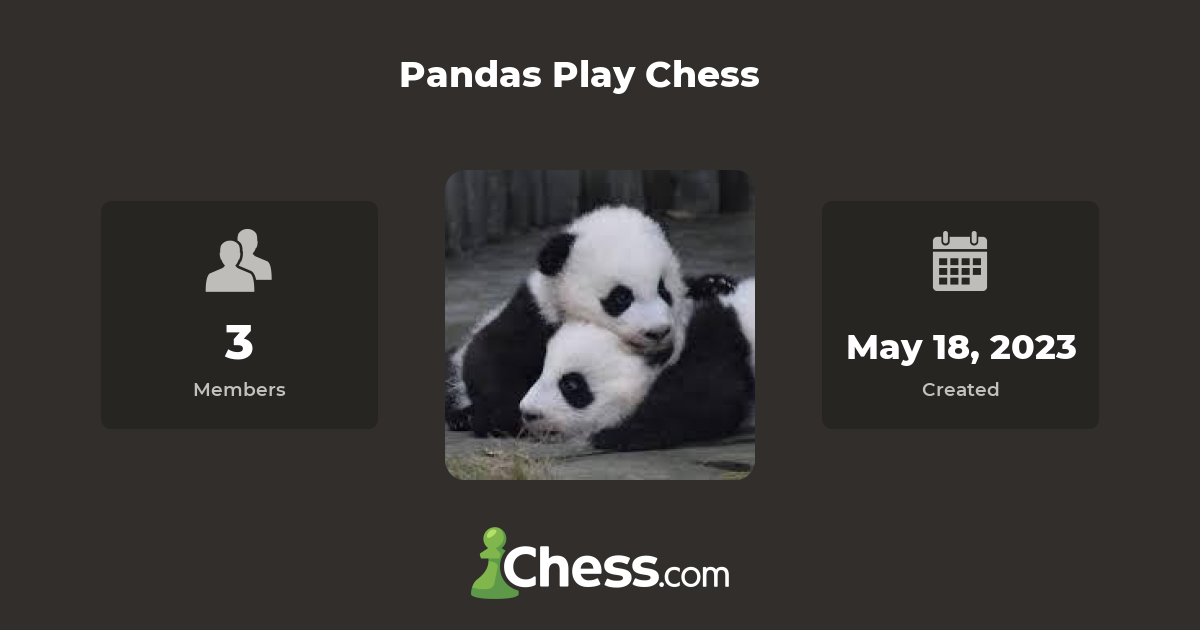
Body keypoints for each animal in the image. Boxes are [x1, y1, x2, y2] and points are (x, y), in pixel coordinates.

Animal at [446, 206, 698, 437]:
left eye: (664, 290)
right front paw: (498, 418)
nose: (658, 332)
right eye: (620, 297)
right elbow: (489, 355)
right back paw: (462, 417)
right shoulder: (536, 314)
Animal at [517, 277, 755, 451]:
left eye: (571, 385)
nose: (528, 413)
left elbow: (703, 403)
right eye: (541, 371)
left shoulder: (714, 346)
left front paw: (613, 436)